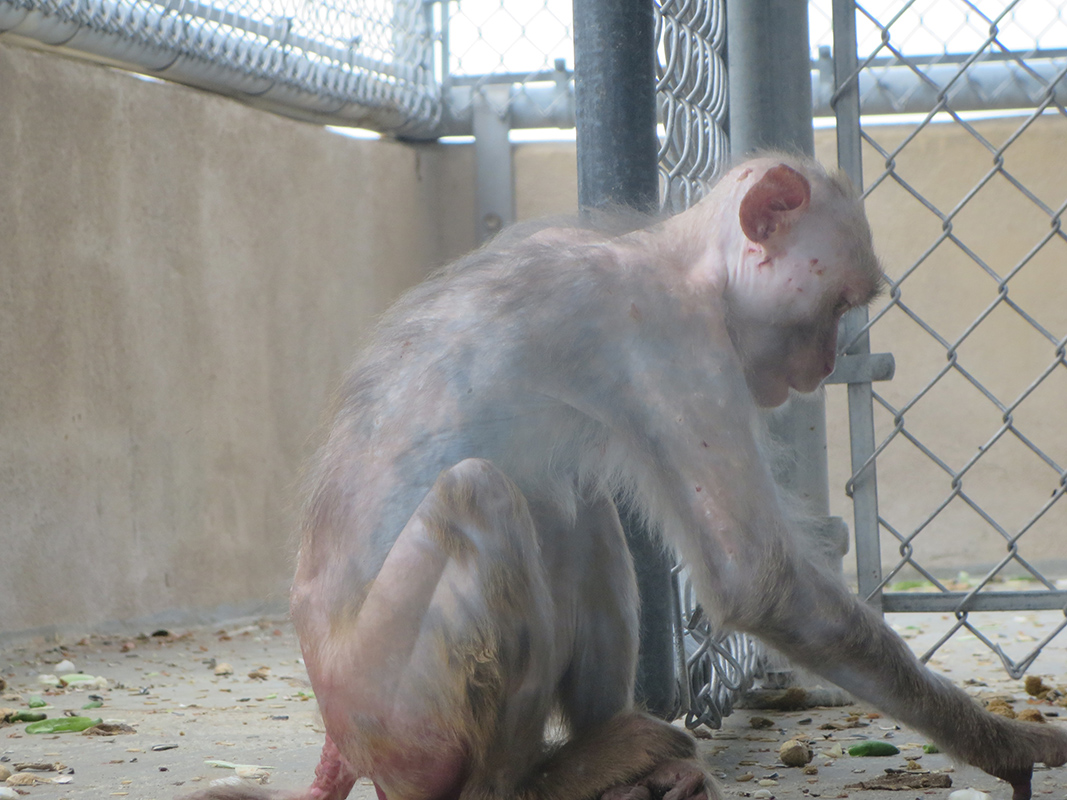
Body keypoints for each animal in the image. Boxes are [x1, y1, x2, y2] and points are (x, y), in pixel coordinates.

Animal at [182, 154, 1066, 800]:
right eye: (837, 303)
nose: (823, 364)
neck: (670, 258)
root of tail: (340, 732)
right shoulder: (674, 338)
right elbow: (757, 581)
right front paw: (1011, 744)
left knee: (569, 507)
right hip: (395, 711)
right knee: (484, 495)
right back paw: (530, 780)